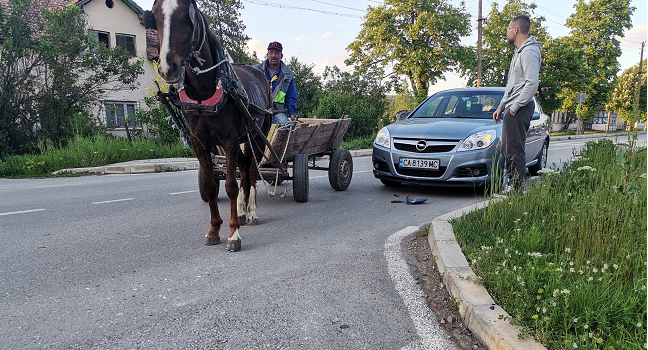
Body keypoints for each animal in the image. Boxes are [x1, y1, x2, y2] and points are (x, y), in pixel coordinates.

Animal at [143, 0, 272, 252]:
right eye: (154, 17)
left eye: (187, 15)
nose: (167, 68)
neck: (204, 93)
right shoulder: (199, 142)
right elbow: (212, 185)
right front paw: (214, 230)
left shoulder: (229, 139)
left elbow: (230, 185)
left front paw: (233, 234)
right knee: (244, 168)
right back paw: (241, 210)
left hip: (258, 134)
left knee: (252, 170)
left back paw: (251, 212)